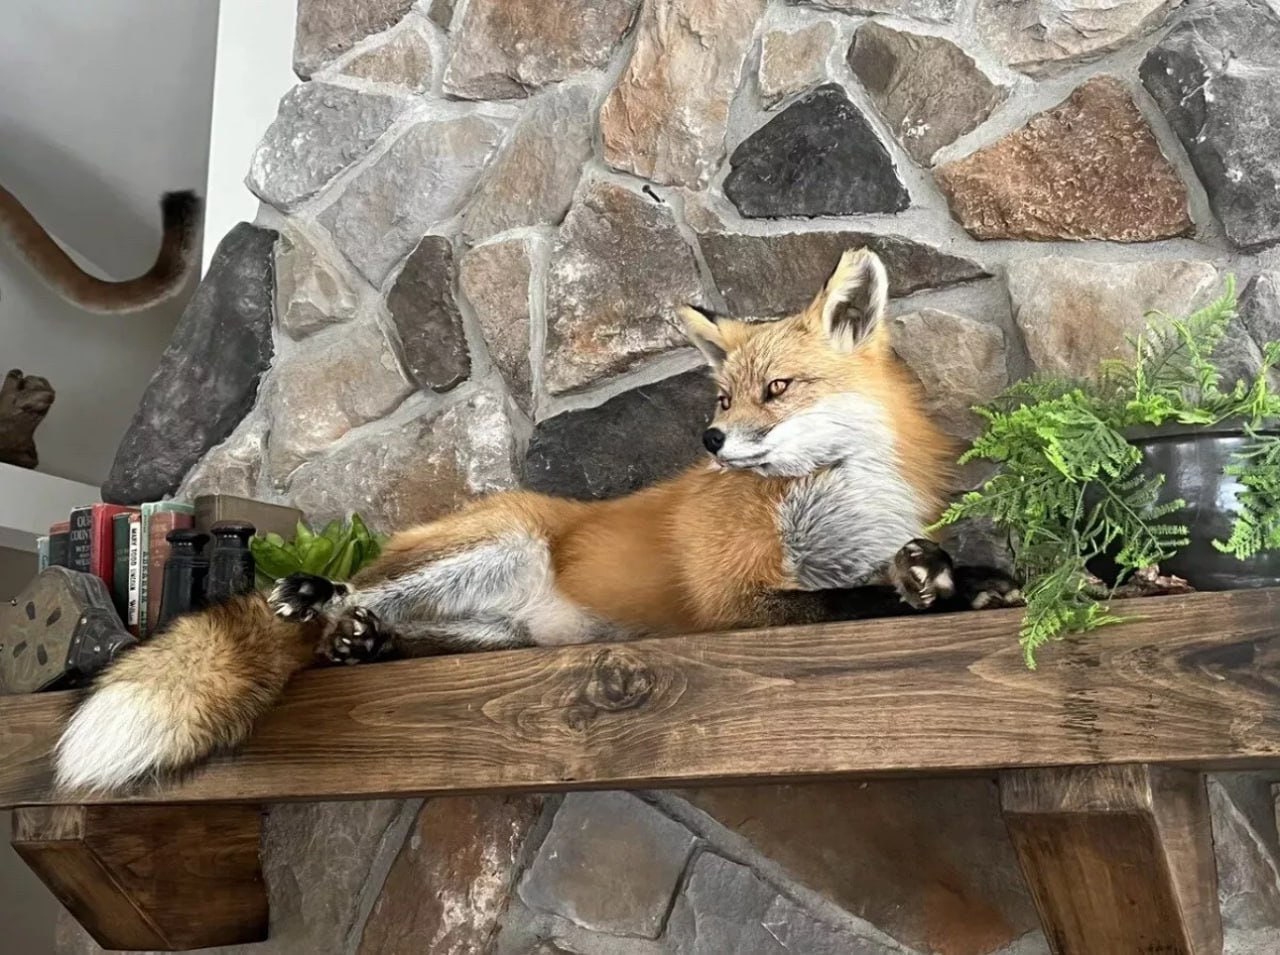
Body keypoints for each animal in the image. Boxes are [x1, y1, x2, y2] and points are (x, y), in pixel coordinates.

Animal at [53, 248, 1021, 793]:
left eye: (777, 389)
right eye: (723, 397)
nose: (711, 439)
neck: (832, 497)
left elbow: (892, 575)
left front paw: (975, 581)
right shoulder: (734, 604)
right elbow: (842, 602)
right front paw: (931, 590)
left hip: (510, 637)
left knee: (386, 638)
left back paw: (366, 644)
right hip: (485, 547)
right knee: (348, 595)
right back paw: (310, 597)